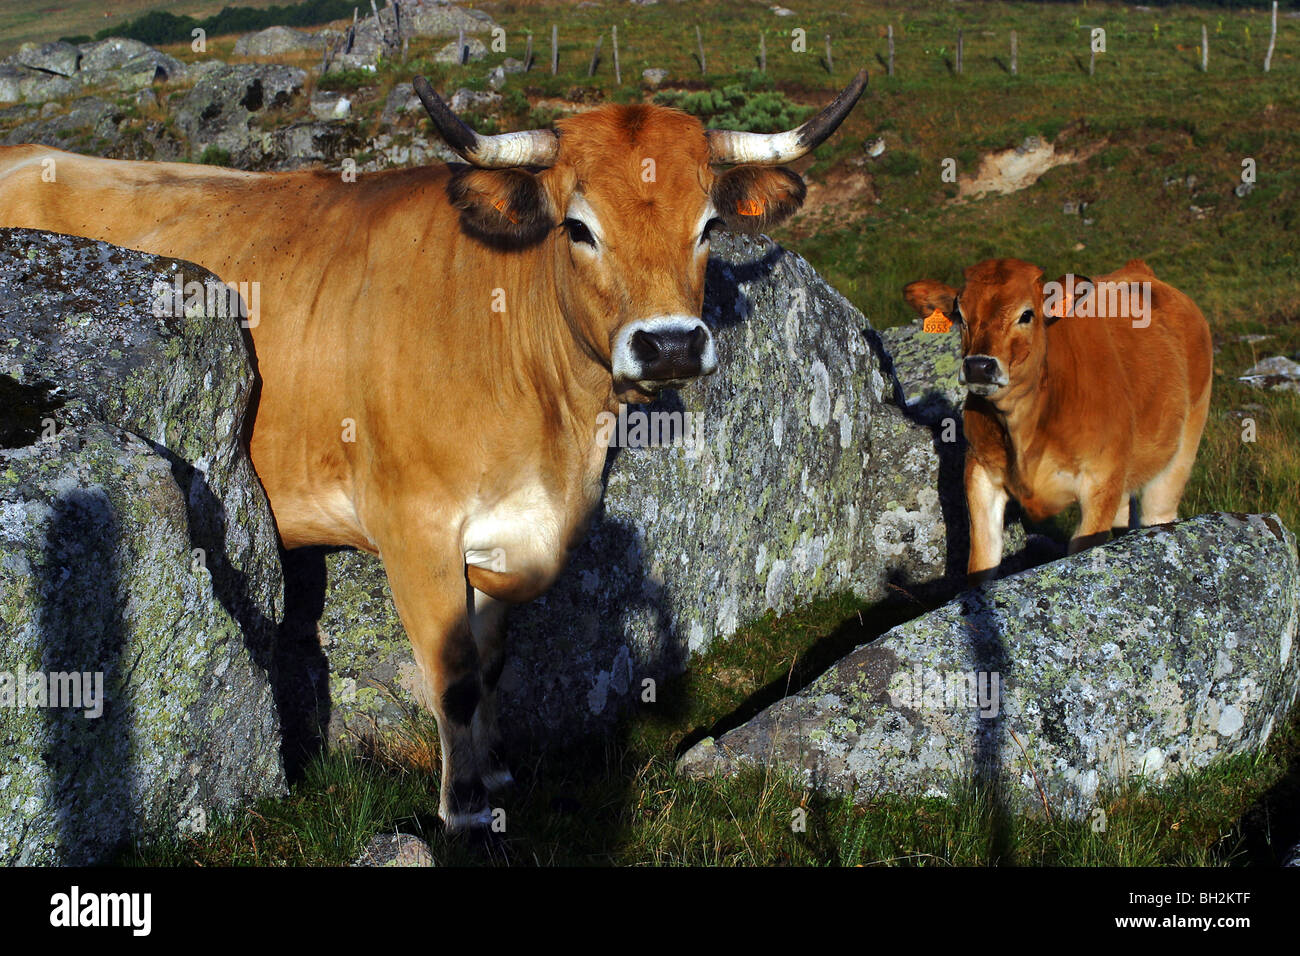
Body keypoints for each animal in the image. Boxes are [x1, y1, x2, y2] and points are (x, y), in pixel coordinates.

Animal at [0, 70, 869, 829]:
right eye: (578, 227)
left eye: (709, 225)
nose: (670, 346)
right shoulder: (413, 527)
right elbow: (451, 677)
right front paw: (465, 807)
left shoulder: (503, 538)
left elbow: (487, 665)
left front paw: (497, 773)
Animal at [902, 257, 1212, 582]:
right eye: (960, 315)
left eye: (1027, 314)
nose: (978, 366)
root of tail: (1137, 270)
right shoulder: (980, 472)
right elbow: (982, 564)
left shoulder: (1100, 483)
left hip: (1183, 447)